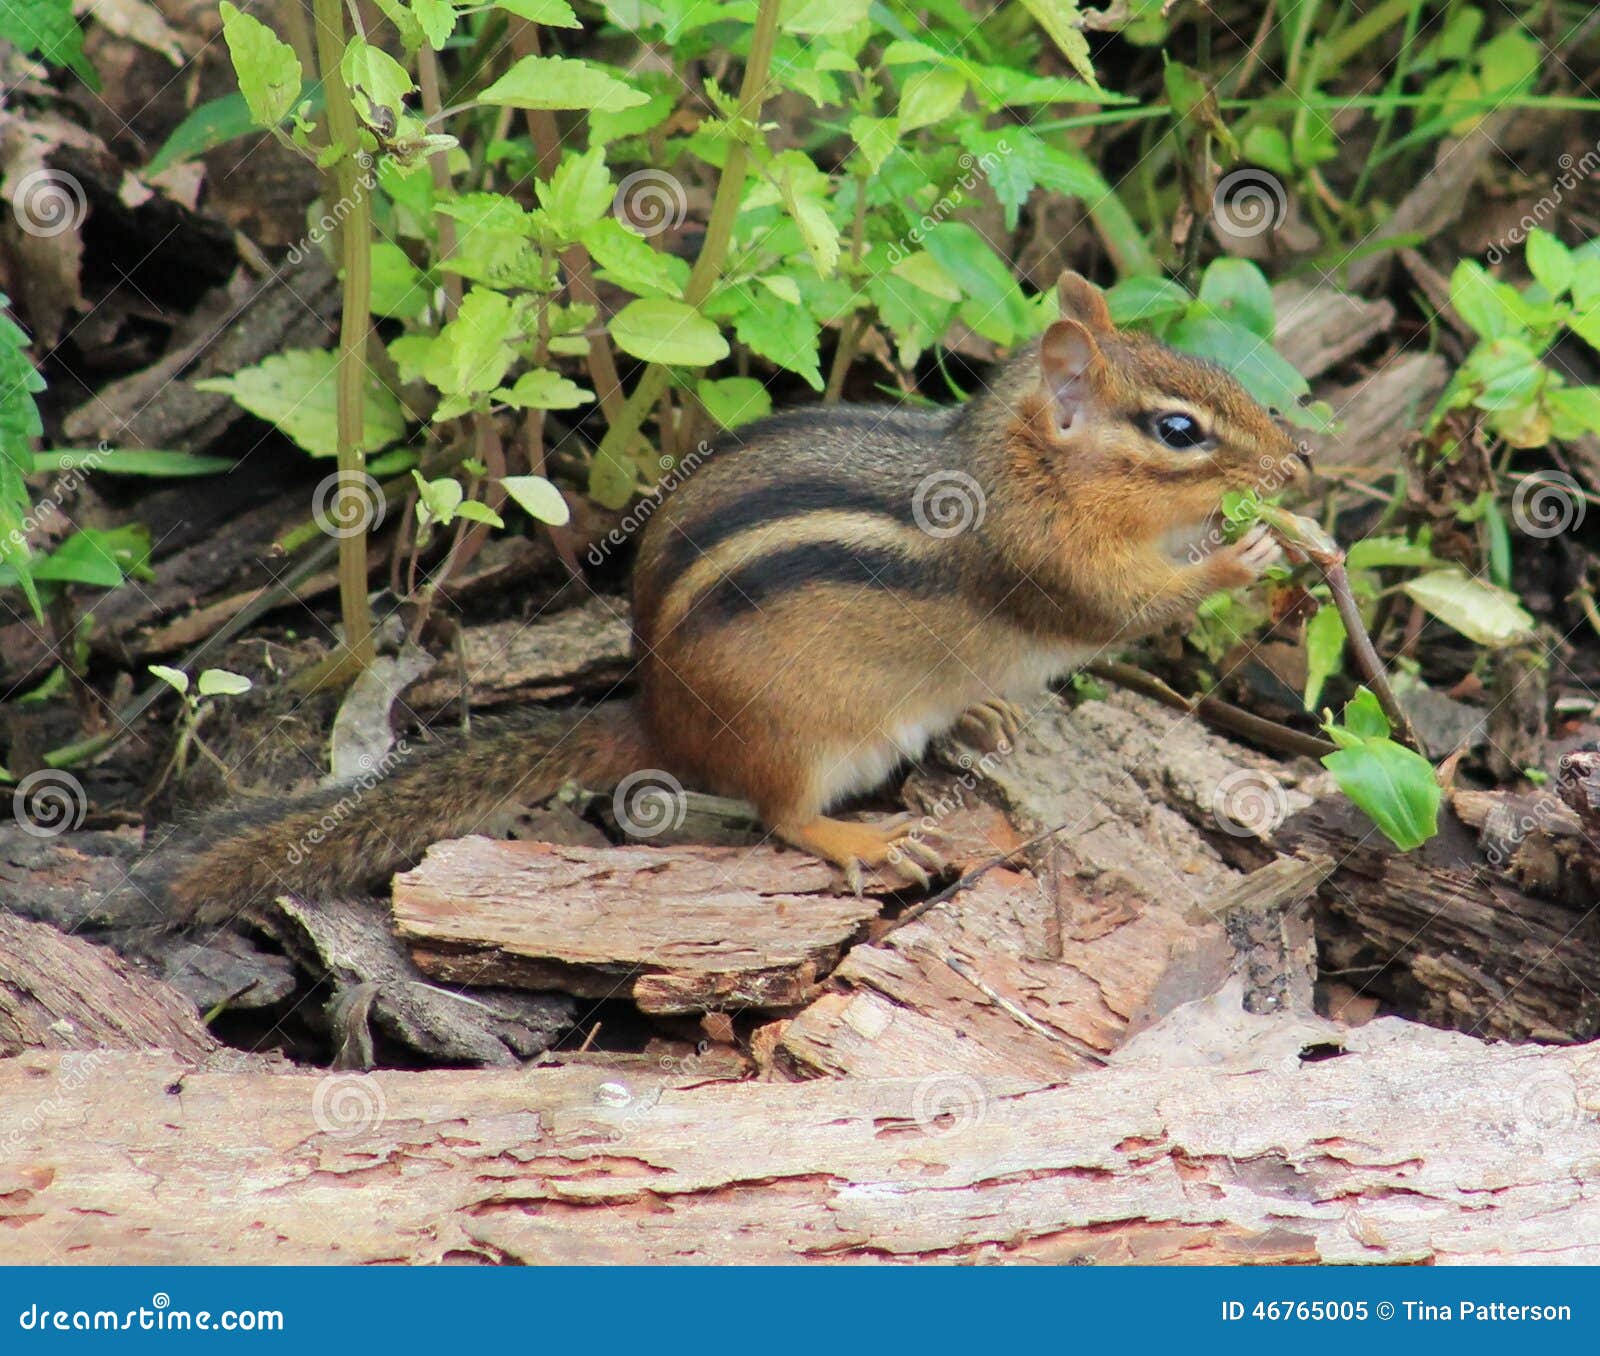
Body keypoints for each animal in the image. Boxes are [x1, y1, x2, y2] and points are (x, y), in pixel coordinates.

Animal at [130, 271, 1310, 925]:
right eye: (1178, 430)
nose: (1297, 461)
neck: (1017, 467)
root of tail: (662, 719)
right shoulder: (1048, 561)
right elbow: (1124, 608)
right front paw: (1243, 557)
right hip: (799, 734)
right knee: (783, 817)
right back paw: (856, 840)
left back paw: (974, 707)